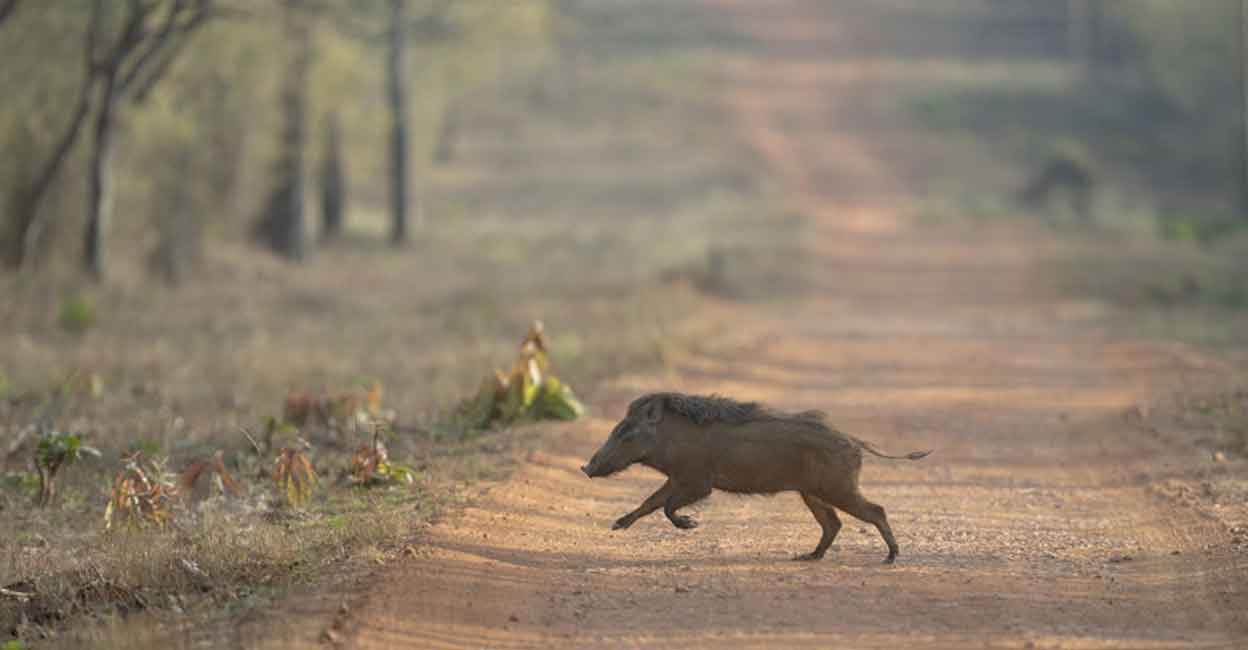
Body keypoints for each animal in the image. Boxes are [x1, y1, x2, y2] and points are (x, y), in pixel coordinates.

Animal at [581, 392, 930, 564]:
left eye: (627, 433)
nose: (586, 467)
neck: (670, 437)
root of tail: (855, 440)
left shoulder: (697, 482)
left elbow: (665, 507)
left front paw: (691, 525)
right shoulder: (678, 480)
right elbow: (650, 503)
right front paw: (617, 525)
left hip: (837, 487)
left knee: (875, 511)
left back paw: (890, 558)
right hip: (813, 493)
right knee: (833, 523)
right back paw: (807, 557)